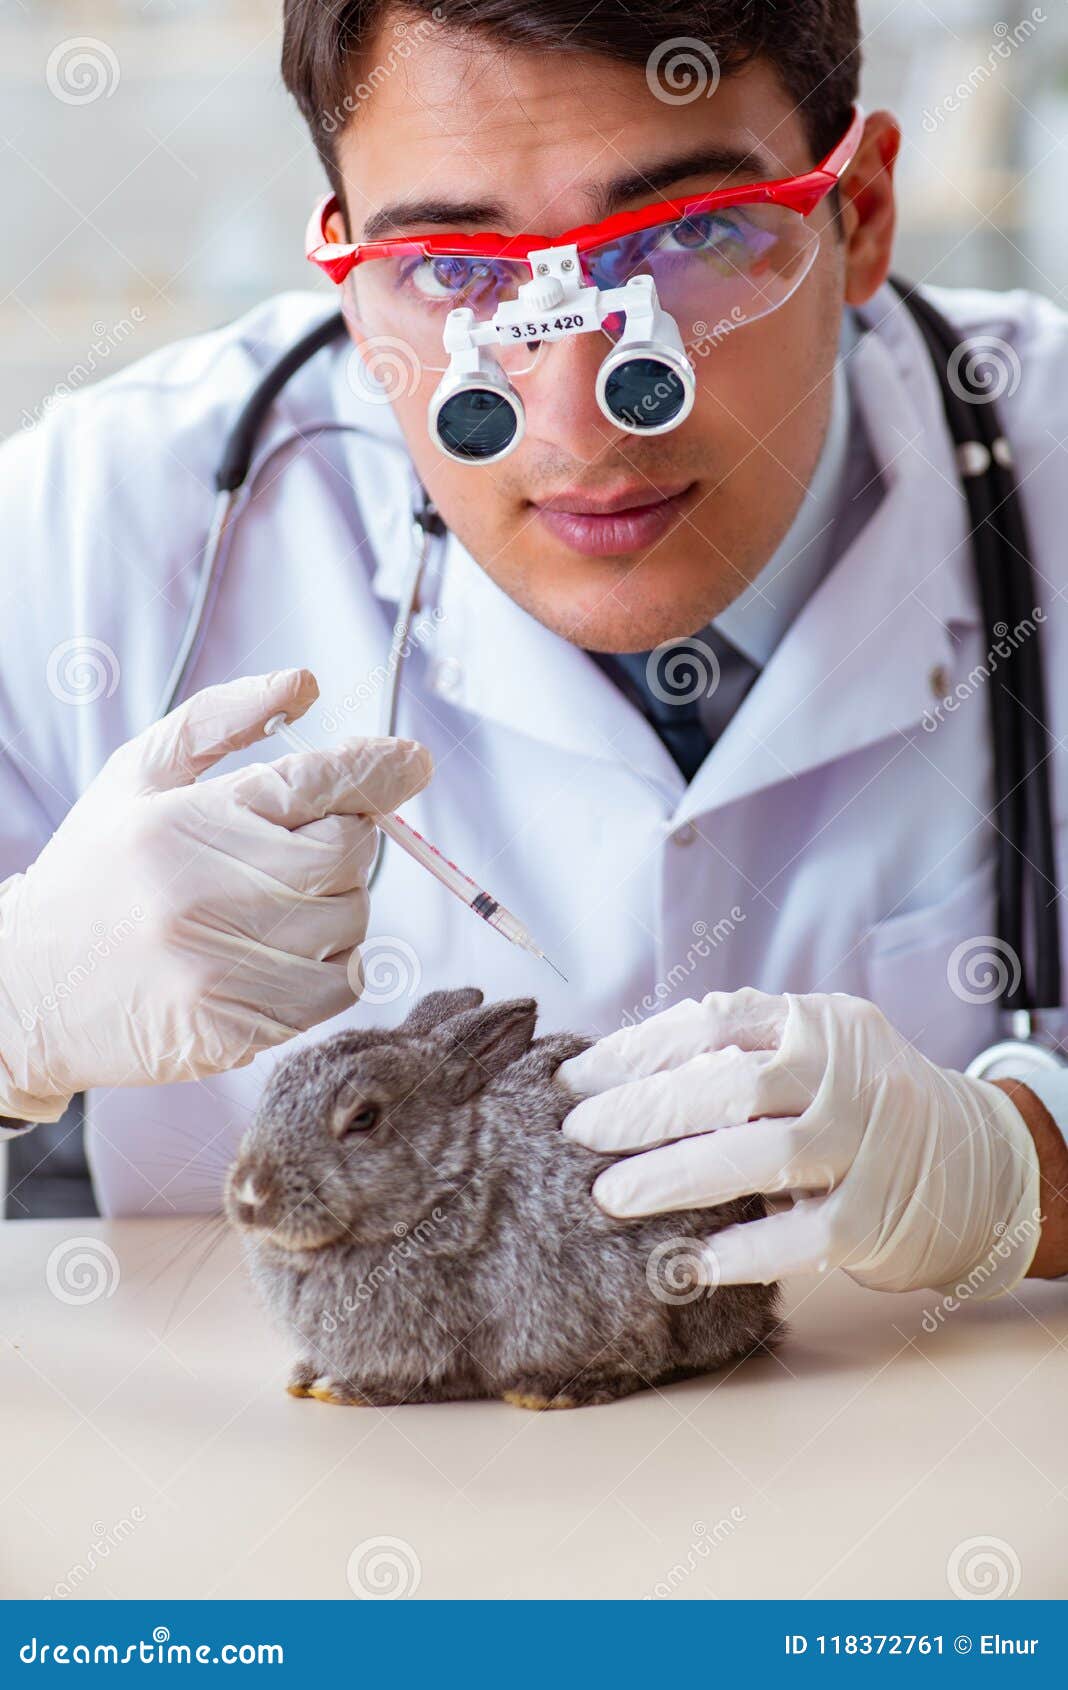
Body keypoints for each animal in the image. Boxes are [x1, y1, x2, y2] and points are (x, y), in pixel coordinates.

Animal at [224, 988, 781, 1410]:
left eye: (363, 1118)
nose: (249, 1198)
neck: (441, 1185)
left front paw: (341, 1389)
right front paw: (306, 1375)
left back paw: (557, 1390)